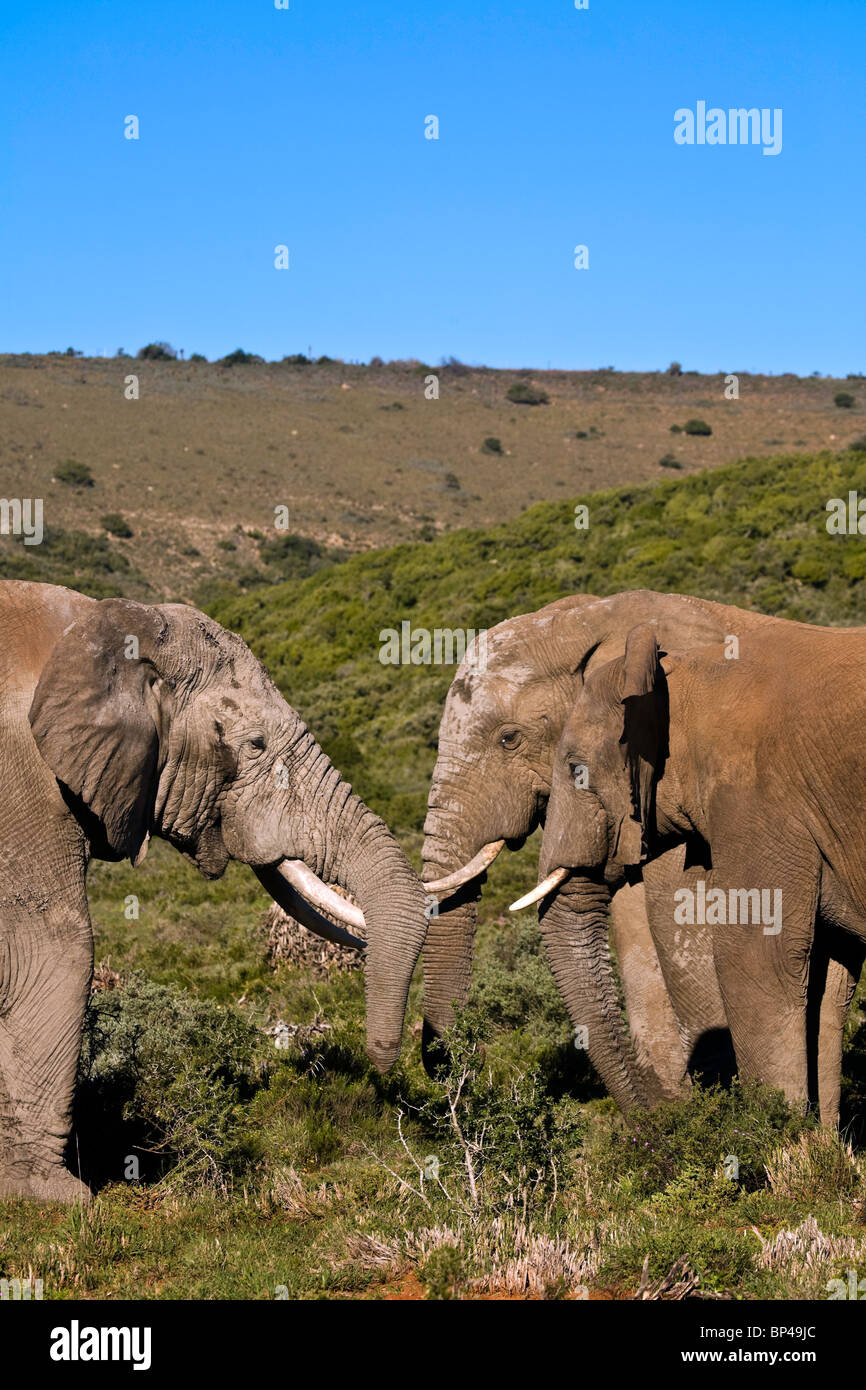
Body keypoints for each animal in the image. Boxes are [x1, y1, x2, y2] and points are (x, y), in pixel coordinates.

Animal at [0, 580, 429, 1203]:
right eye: (255, 745)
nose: (388, 1065)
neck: (100, 624)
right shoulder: (24, 784)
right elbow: (56, 945)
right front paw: (54, 1197)